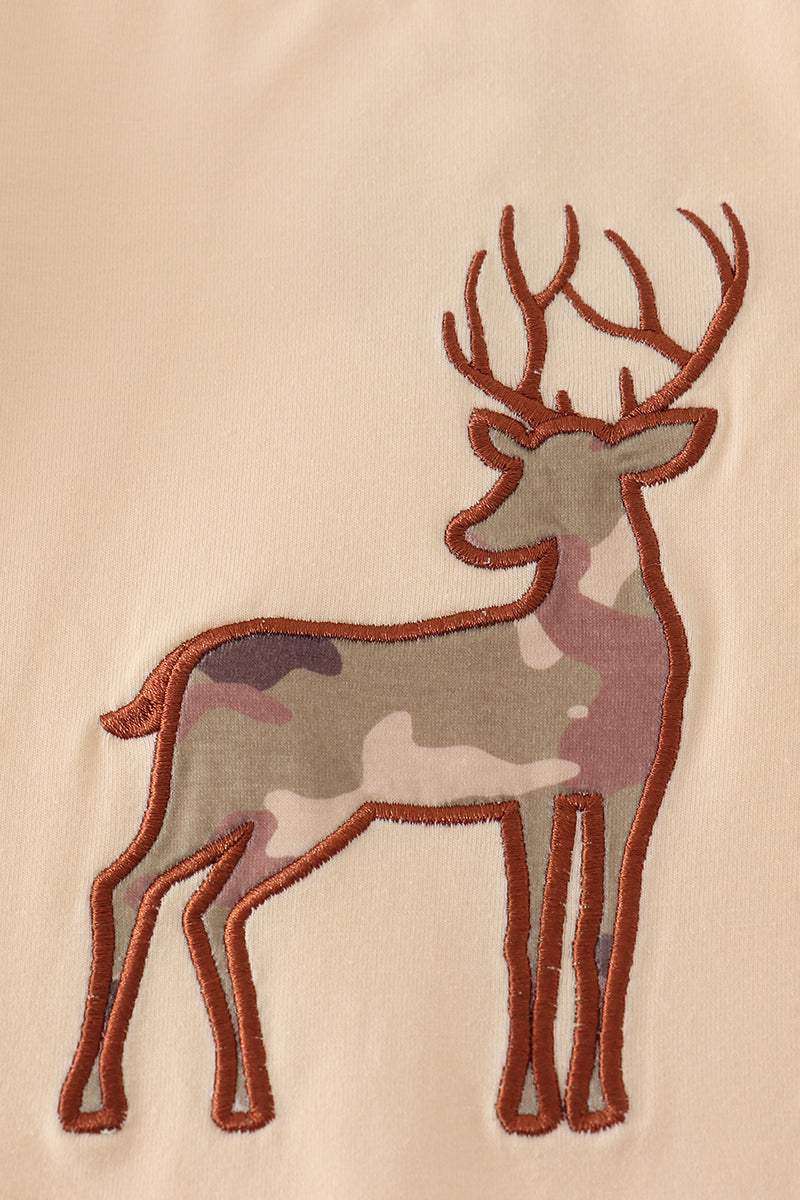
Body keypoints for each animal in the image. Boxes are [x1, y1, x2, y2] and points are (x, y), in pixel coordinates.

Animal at [60, 203, 747, 1137]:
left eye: (585, 470)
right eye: (521, 463)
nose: (469, 531)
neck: (592, 667)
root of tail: (184, 664)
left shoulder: (632, 786)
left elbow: (603, 935)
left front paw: (599, 1104)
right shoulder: (532, 784)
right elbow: (532, 935)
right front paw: (533, 1109)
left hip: (274, 813)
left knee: (204, 905)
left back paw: (234, 1101)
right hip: (231, 793)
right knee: (130, 885)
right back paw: (104, 1103)